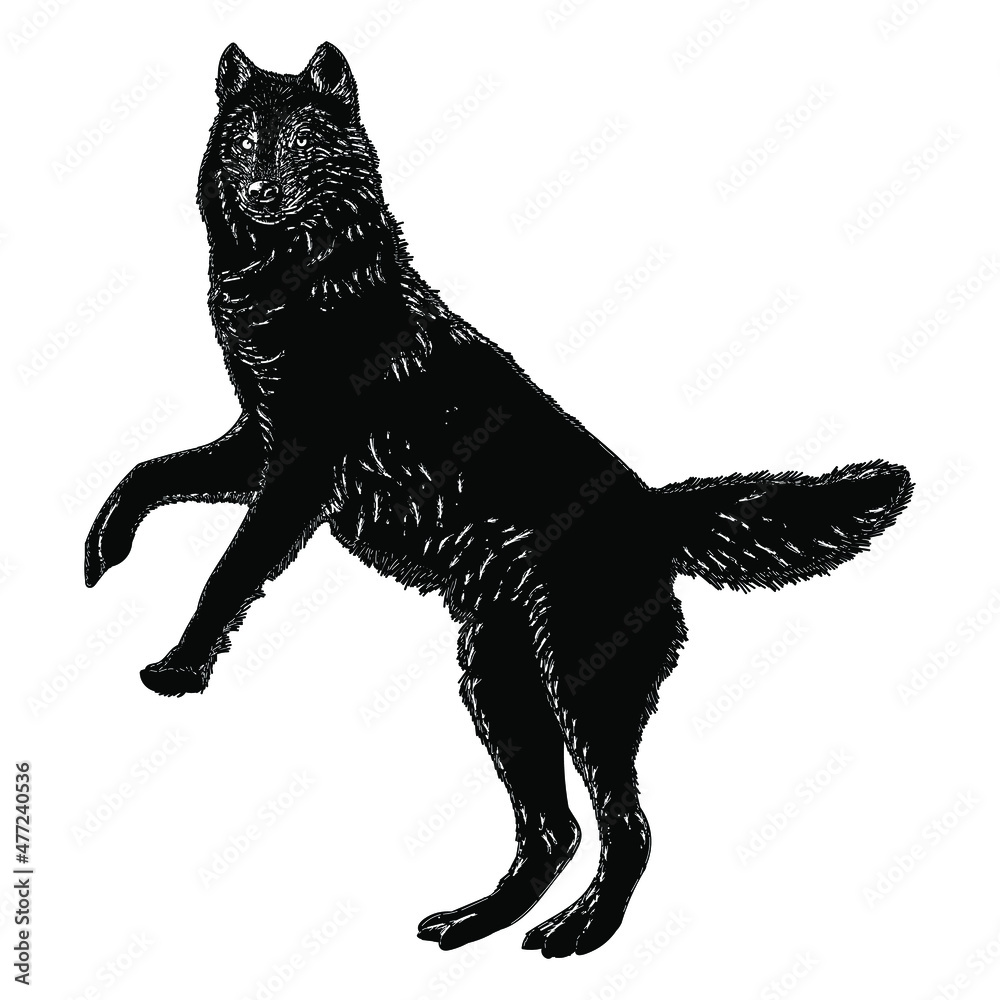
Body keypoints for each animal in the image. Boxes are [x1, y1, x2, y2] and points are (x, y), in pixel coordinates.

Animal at [84, 43, 912, 957]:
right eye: (244, 142)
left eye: (301, 142)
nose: (262, 192)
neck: (304, 282)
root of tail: (652, 510)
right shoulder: (256, 445)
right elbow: (146, 473)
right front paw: (102, 552)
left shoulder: (294, 476)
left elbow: (227, 572)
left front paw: (179, 667)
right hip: (501, 686)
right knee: (556, 831)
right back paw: (475, 923)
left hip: (580, 693)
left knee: (627, 829)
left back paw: (579, 931)